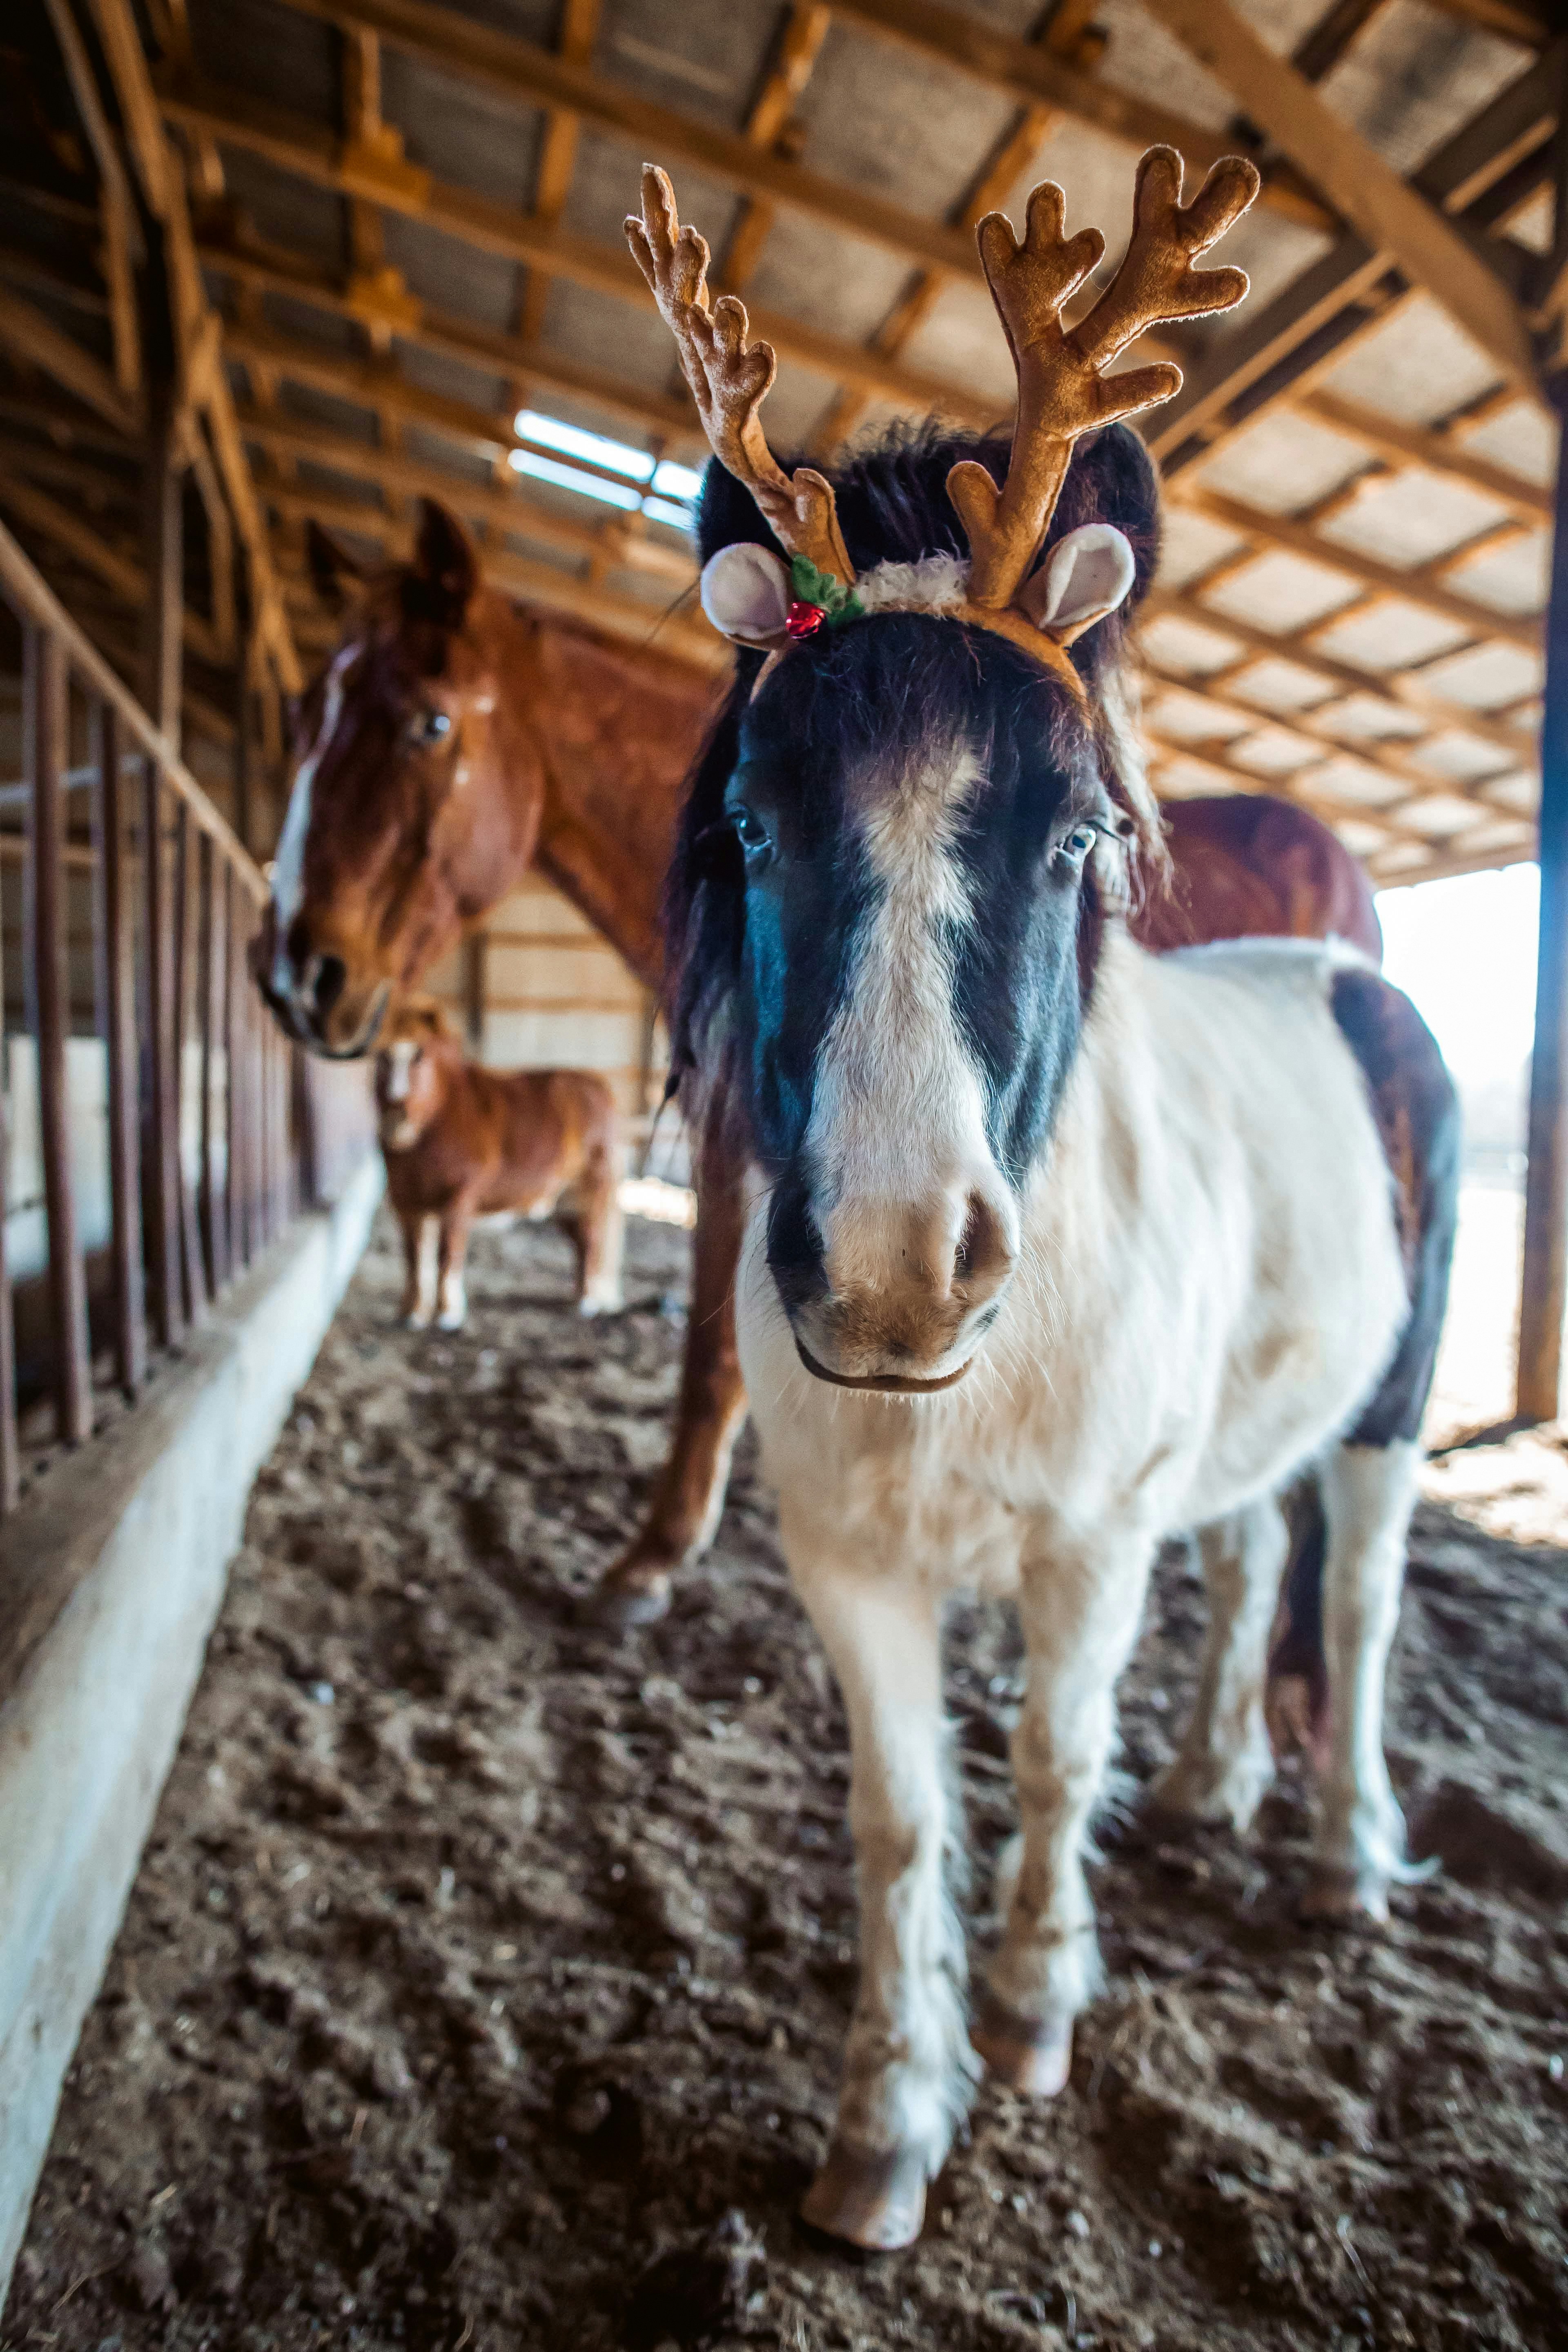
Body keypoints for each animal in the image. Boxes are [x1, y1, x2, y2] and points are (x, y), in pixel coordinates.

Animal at [256, 496, 1382, 1630]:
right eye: (301, 723)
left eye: (429, 723)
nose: (296, 971)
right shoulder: (733, 1145)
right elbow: (707, 1352)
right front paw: (654, 1551)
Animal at [629, 152, 1456, 2251]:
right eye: (752, 820)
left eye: (1078, 833)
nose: (893, 1271)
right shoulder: (850, 1562)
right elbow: (901, 1813)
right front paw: (883, 2126)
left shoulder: (1090, 1546)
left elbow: (1051, 1757)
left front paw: (1024, 2013)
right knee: (1250, 1560)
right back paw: (1216, 1787)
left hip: (1391, 1420)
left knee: (1360, 1592)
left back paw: (1336, 1854)